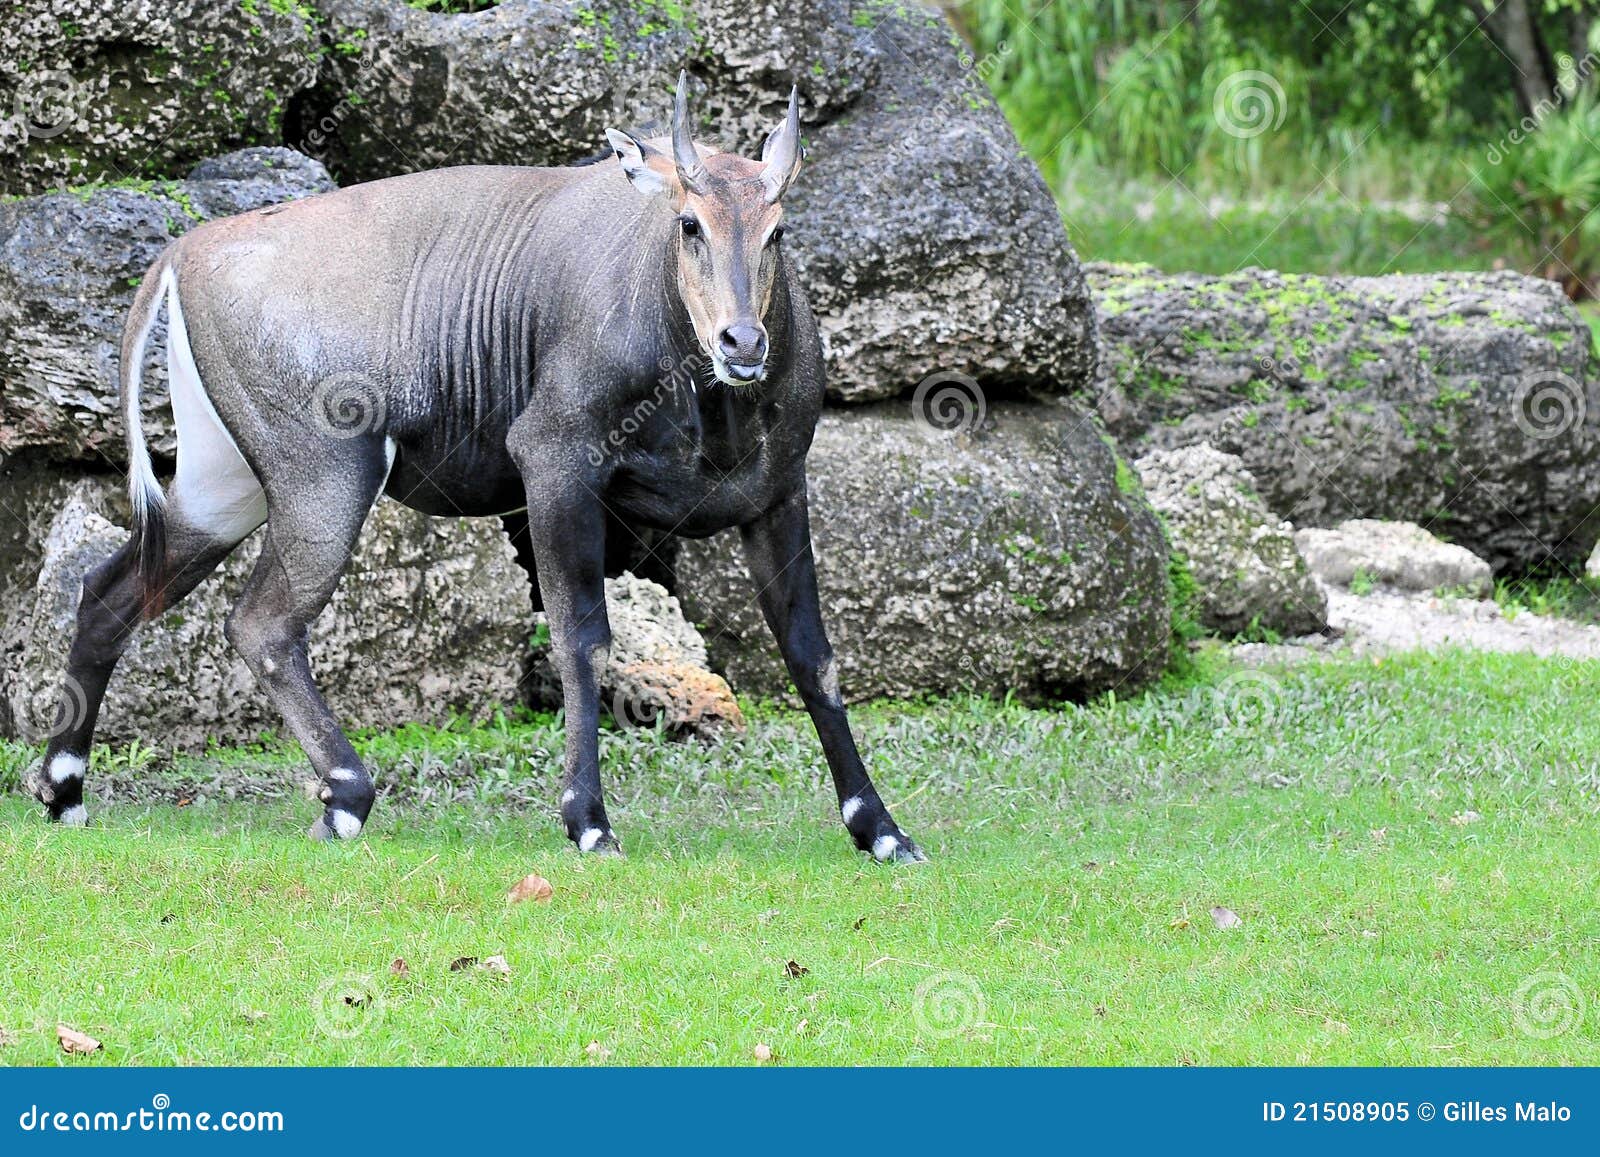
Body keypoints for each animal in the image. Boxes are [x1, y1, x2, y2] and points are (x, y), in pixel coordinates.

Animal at [25, 75, 925, 863]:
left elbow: (813, 654)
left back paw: (65, 790)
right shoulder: (557, 468)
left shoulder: (777, 497)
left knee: (109, 593)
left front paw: (881, 830)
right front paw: (589, 822)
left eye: (778, 230)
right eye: (689, 224)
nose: (742, 342)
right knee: (261, 624)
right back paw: (346, 794)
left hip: (225, 489)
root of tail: (185, 250)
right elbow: (582, 639)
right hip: (327, 482)